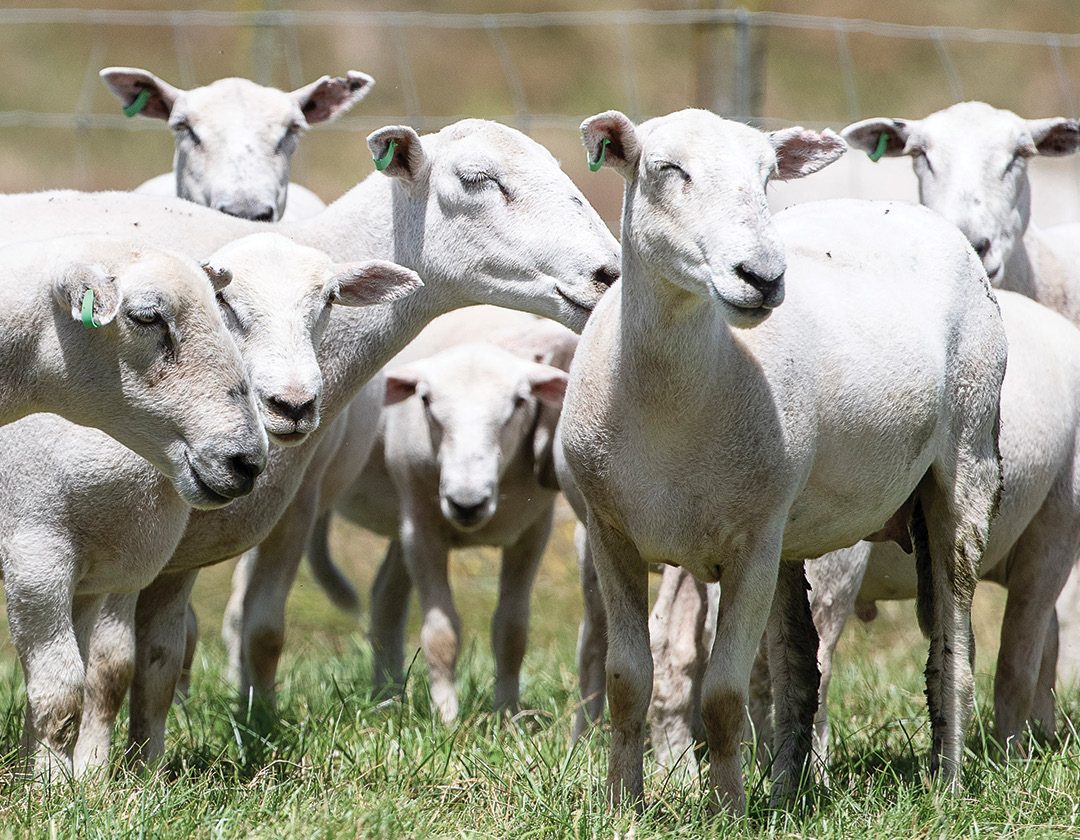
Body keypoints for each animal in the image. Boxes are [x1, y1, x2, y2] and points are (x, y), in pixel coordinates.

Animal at [3, 232, 418, 778]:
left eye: (329, 299)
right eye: (147, 316)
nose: (246, 459)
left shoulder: (105, 573)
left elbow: (130, 670)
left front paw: (101, 779)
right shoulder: (37, 558)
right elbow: (72, 687)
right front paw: (61, 787)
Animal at [222, 313, 578, 722]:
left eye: (520, 402)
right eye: (426, 402)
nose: (466, 503)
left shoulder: (534, 530)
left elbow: (512, 631)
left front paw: (507, 715)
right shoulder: (420, 528)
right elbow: (441, 634)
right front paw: (447, 720)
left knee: (385, 600)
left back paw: (387, 698)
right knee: (240, 607)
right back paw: (244, 696)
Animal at [560, 108, 1007, 813]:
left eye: (767, 175)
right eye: (667, 168)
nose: (763, 277)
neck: (668, 406)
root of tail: (913, 214)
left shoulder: (753, 544)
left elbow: (722, 696)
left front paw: (726, 812)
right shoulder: (612, 535)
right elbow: (628, 681)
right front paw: (623, 806)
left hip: (966, 457)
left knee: (954, 644)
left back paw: (948, 786)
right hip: (792, 527)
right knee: (801, 661)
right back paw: (786, 792)